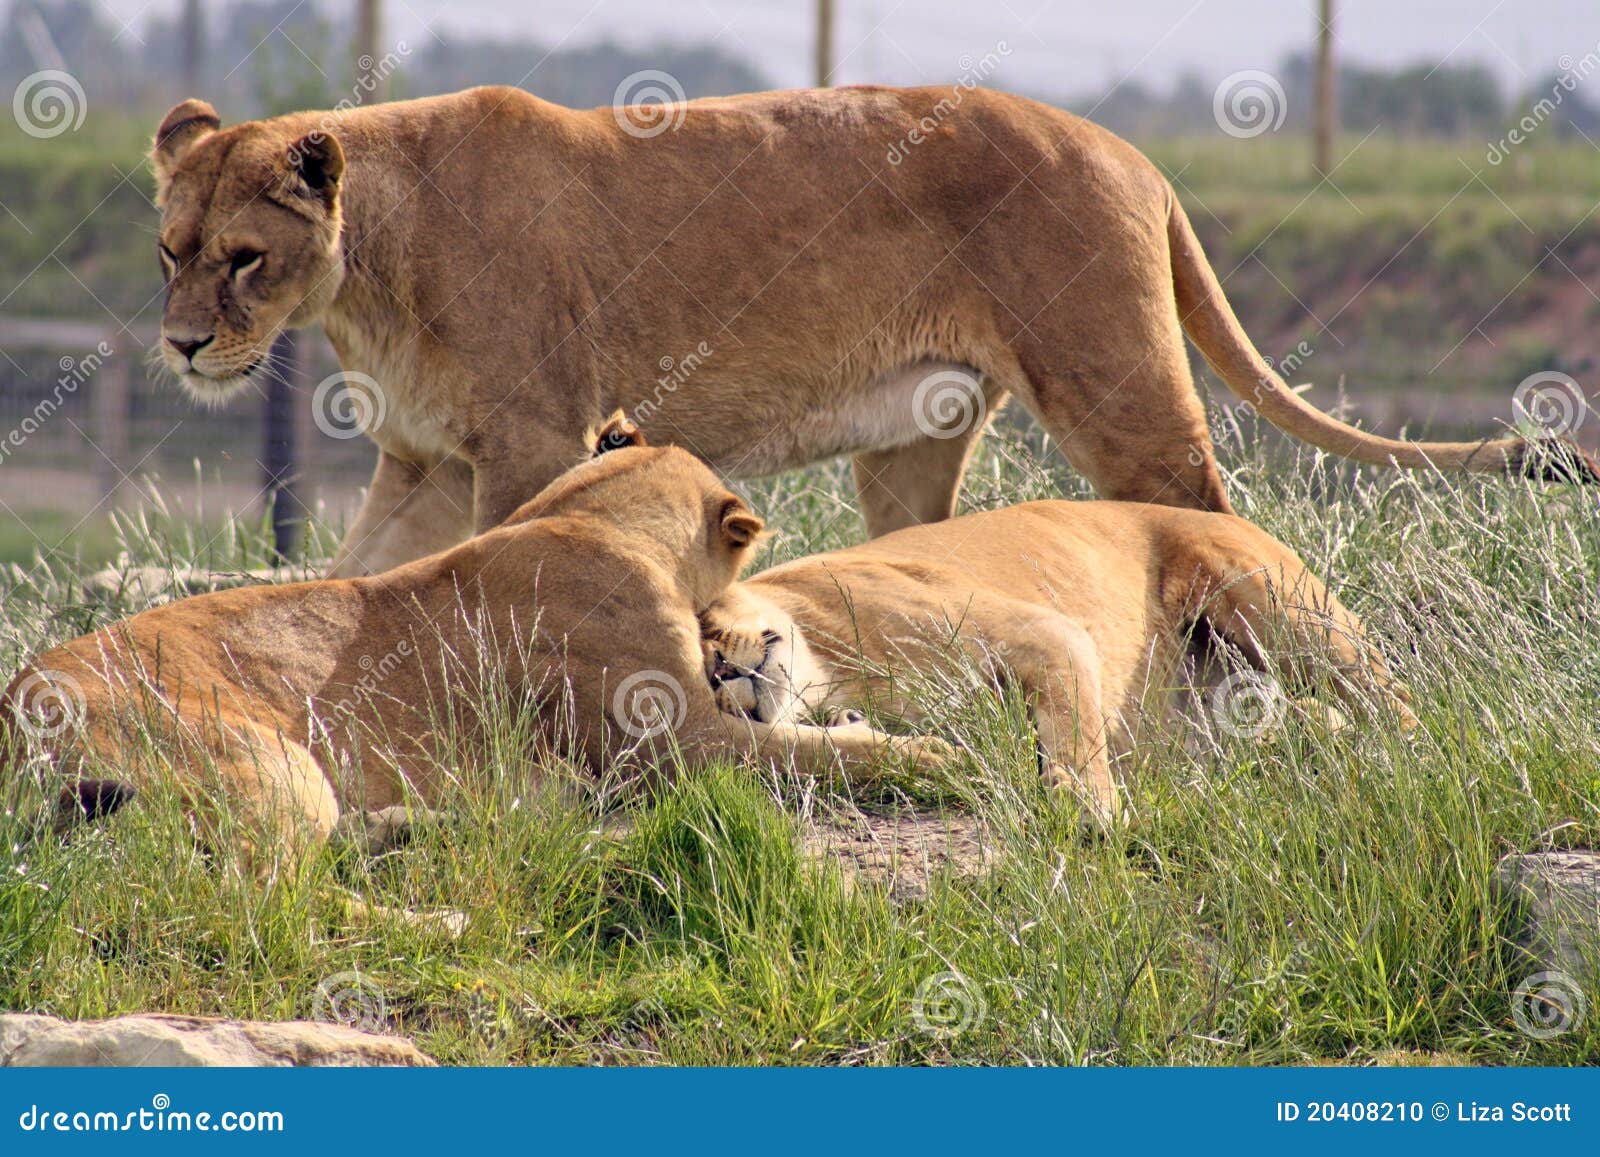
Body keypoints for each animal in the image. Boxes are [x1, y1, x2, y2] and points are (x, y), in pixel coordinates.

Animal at [0, 416, 946, 889]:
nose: (729, 662)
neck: (586, 512)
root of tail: (16, 709)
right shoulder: (683, 749)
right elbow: (819, 754)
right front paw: (931, 753)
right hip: (271, 768)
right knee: (259, 896)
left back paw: (426, 824)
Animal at [149, 86, 1595, 579]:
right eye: (170, 252)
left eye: (244, 261)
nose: (179, 348)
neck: (366, 277)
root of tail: (1139, 156)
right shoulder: (424, 463)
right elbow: (337, 580)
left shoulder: (530, 438)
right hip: (912, 441)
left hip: (1117, 387)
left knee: (1206, 508)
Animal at [698, 501, 1417, 825]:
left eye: (704, 623)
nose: (720, 672)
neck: (831, 675)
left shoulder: (1046, 631)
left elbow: (1076, 733)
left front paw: (1093, 808)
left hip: (1278, 605)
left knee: (1396, 707)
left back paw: (1405, 759)